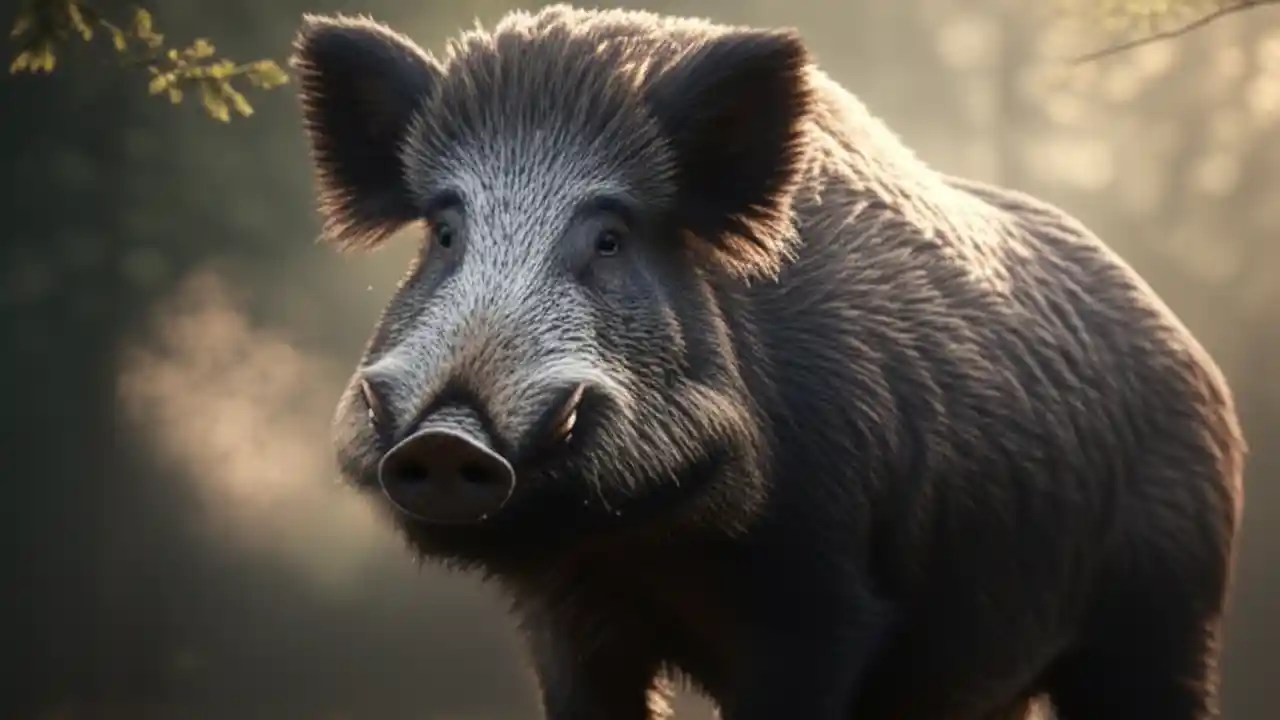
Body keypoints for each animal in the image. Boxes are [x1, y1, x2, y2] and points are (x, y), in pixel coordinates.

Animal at [291, 5, 1245, 720]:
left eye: (610, 238)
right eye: (445, 231)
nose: (447, 438)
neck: (647, 542)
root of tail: (1200, 364)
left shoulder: (822, 602)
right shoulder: (566, 615)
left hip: (1166, 608)